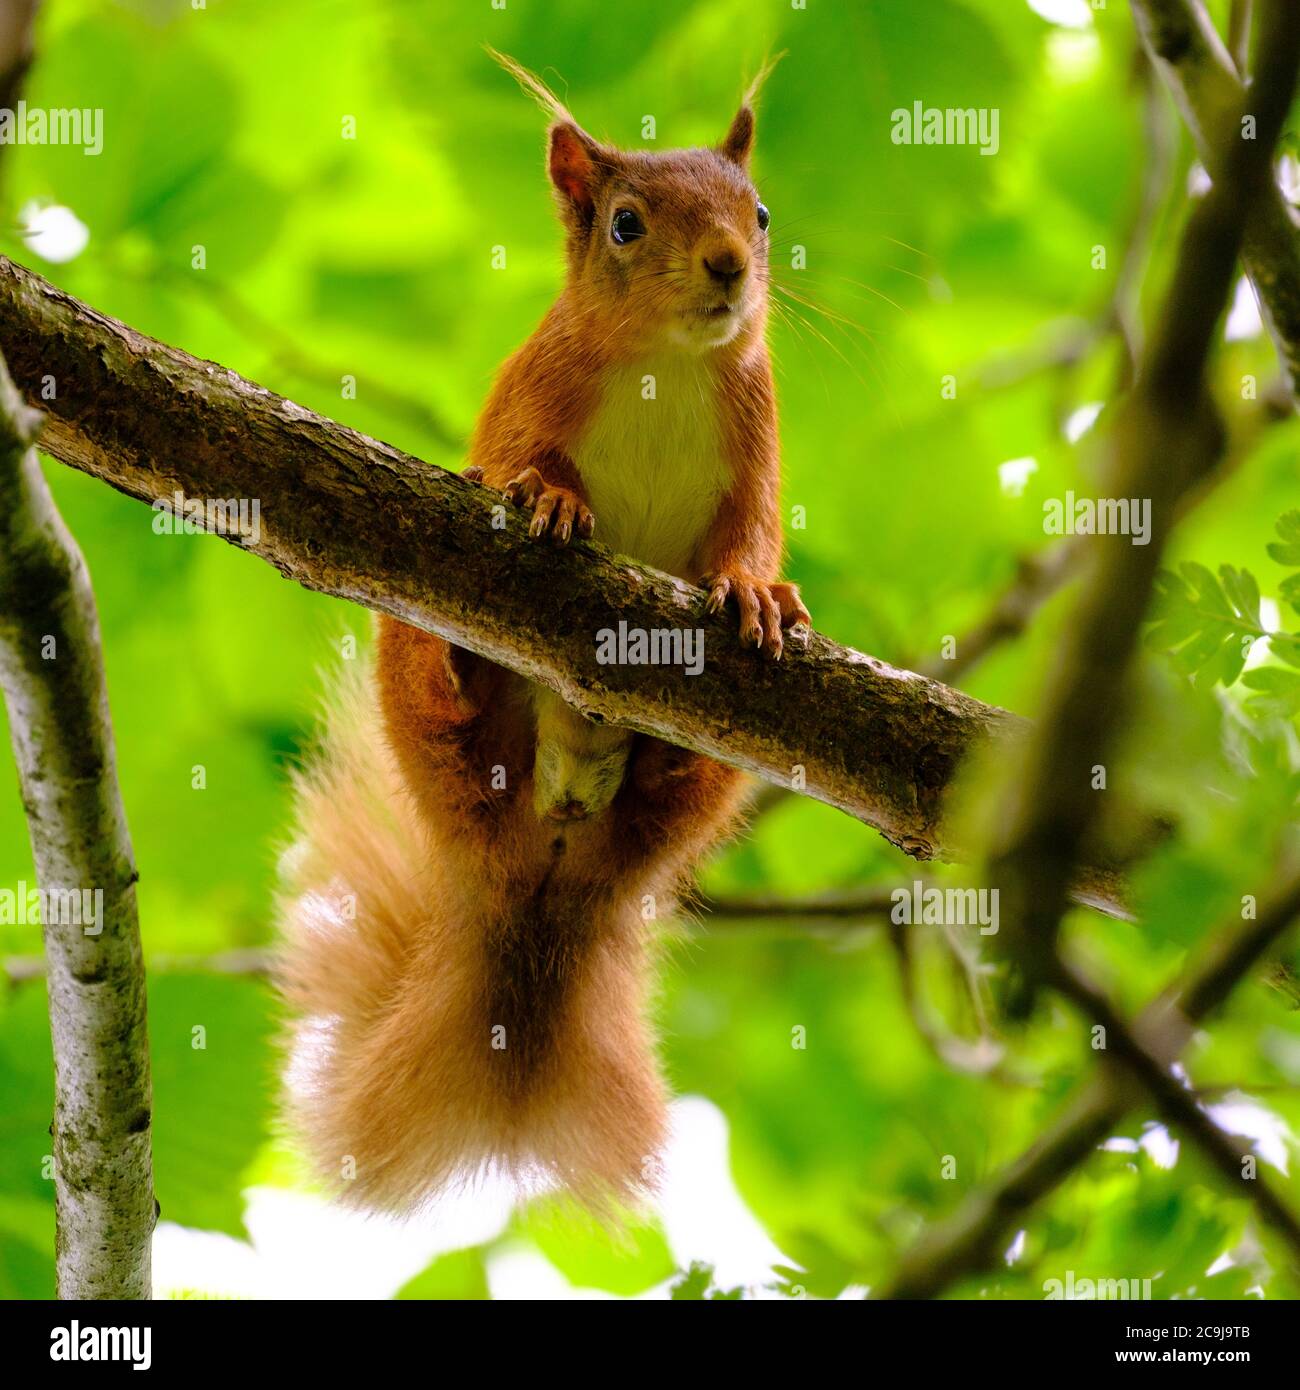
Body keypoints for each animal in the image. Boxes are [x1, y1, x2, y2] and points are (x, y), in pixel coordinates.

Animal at [277, 53, 810, 1216]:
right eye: (624, 223)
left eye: (759, 212)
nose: (728, 266)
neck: (666, 362)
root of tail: (535, 876)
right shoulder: (532, 388)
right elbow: (521, 456)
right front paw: (551, 501)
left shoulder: (756, 444)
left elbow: (750, 537)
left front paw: (759, 595)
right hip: (422, 693)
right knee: (452, 709)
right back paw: (466, 660)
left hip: (707, 789)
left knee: (675, 784)